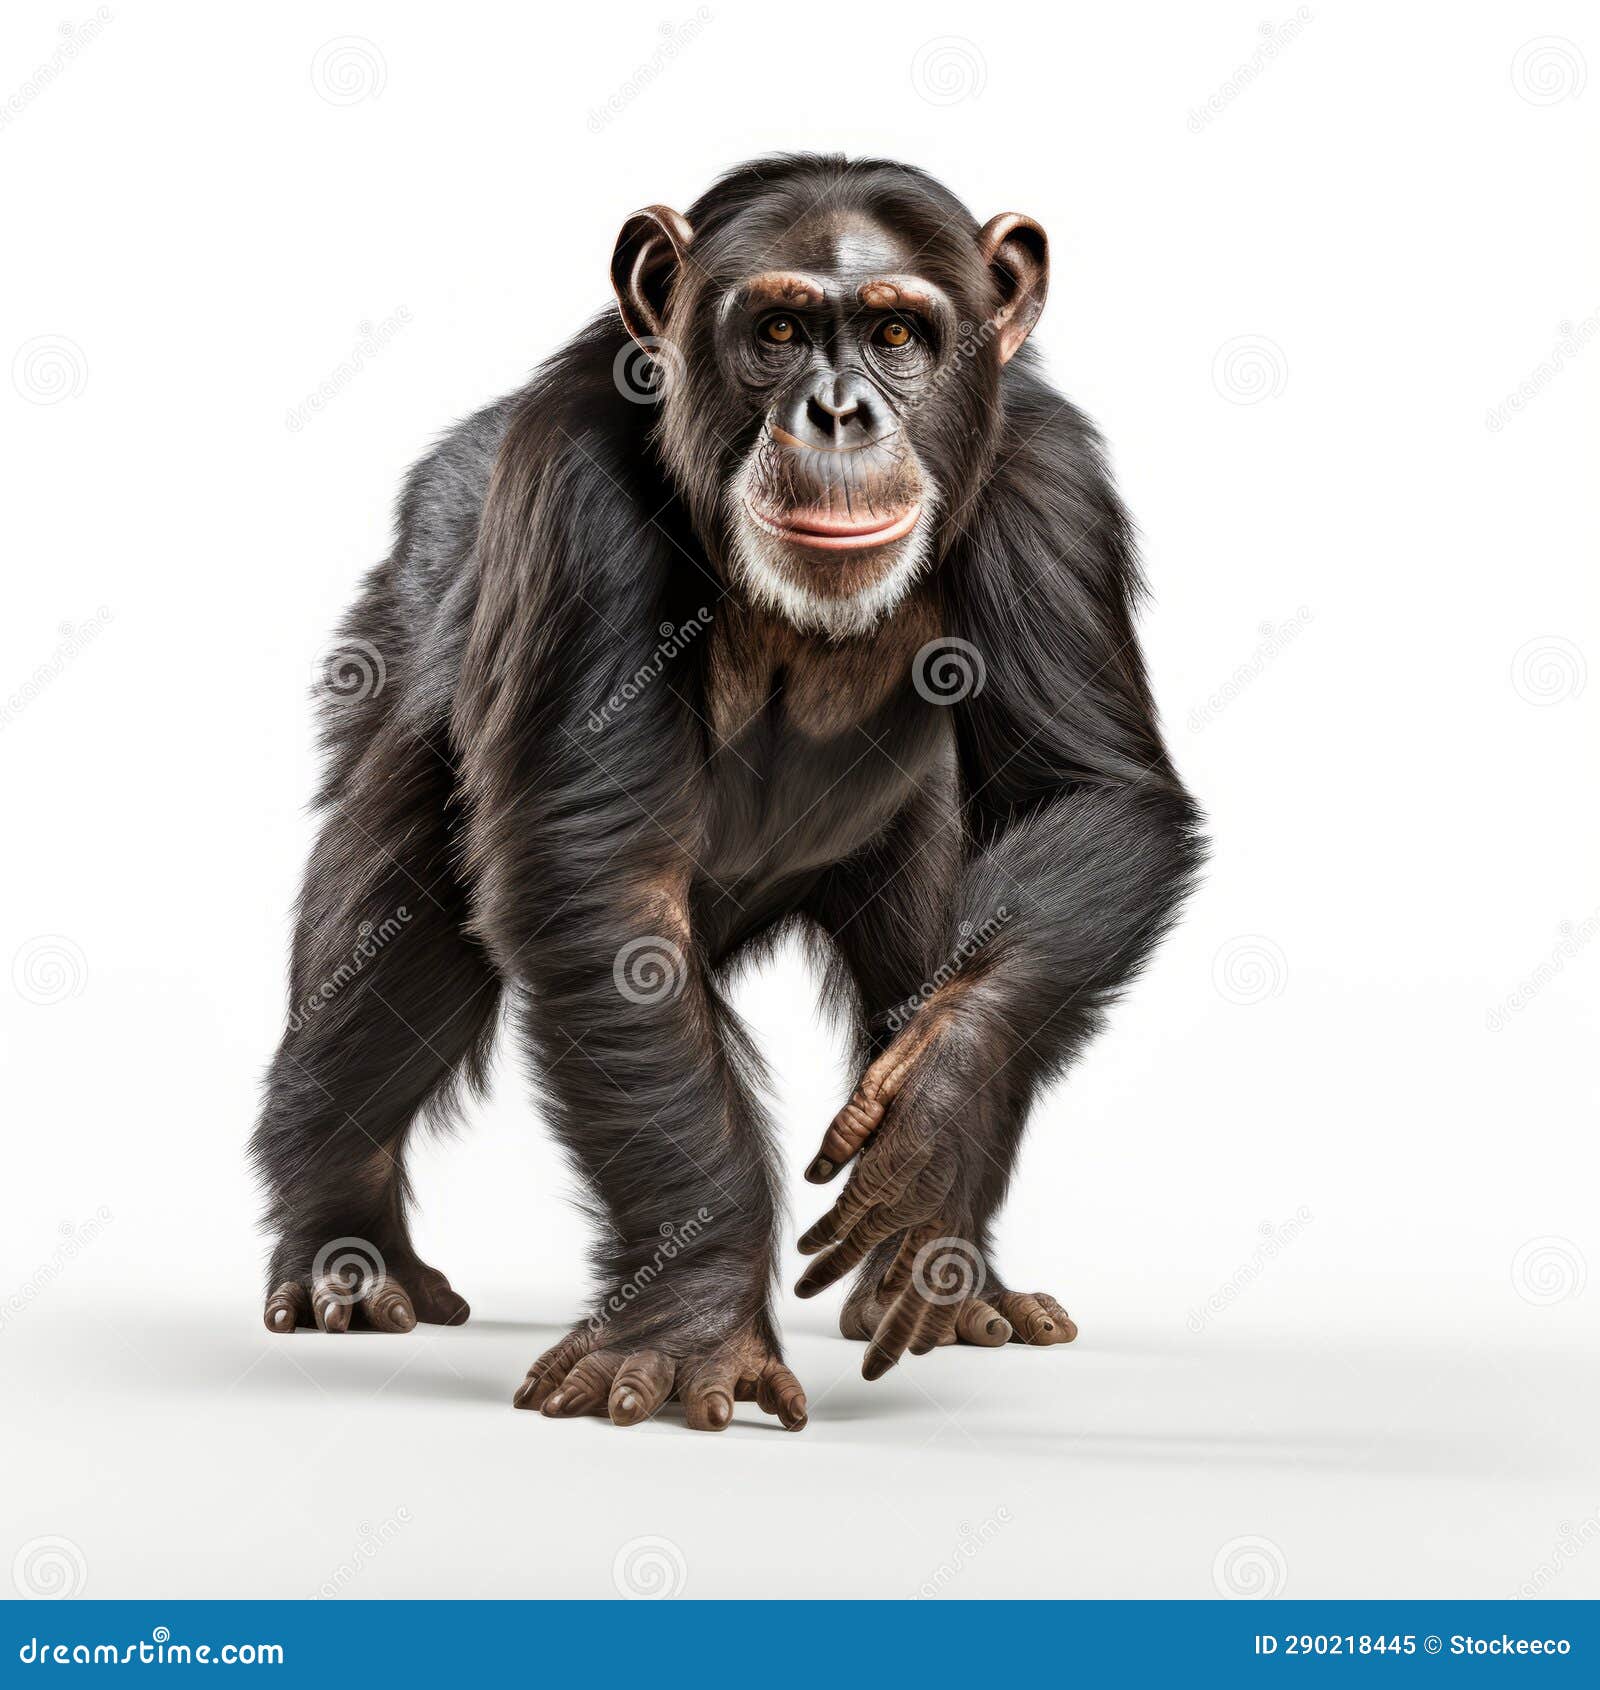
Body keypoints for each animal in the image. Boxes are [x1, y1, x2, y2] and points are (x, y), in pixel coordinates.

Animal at [250, 154, 1204, 1434]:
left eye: (896, 333)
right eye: (780, 330)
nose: (840, 411)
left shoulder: (1057, 482)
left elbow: (1091, 794)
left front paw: (936, 1114)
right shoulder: (572, 479)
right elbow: (599, 883)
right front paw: (690, 1323)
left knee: (942, 928)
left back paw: (954, 1278)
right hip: (401, 621)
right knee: (390, 943)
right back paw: (341, 1255)